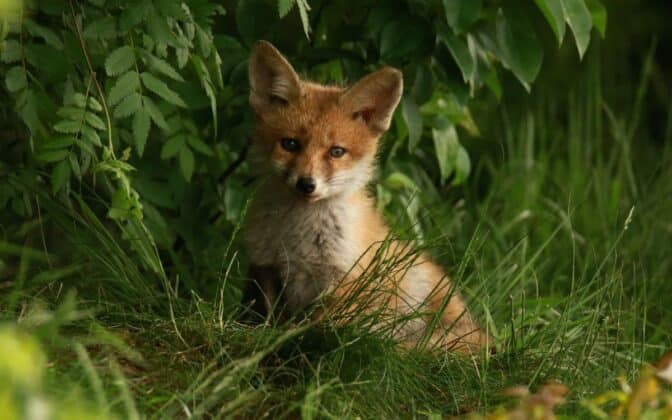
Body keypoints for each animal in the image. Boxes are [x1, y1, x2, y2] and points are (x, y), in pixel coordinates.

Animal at [241, 41, 491, 354]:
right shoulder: (265, 265)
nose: (307, 184)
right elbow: (267, 316)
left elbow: (316, 326)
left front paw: (290, 339)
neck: (298, 236)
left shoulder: (346, 279)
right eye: (290, 144)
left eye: (336, 152)